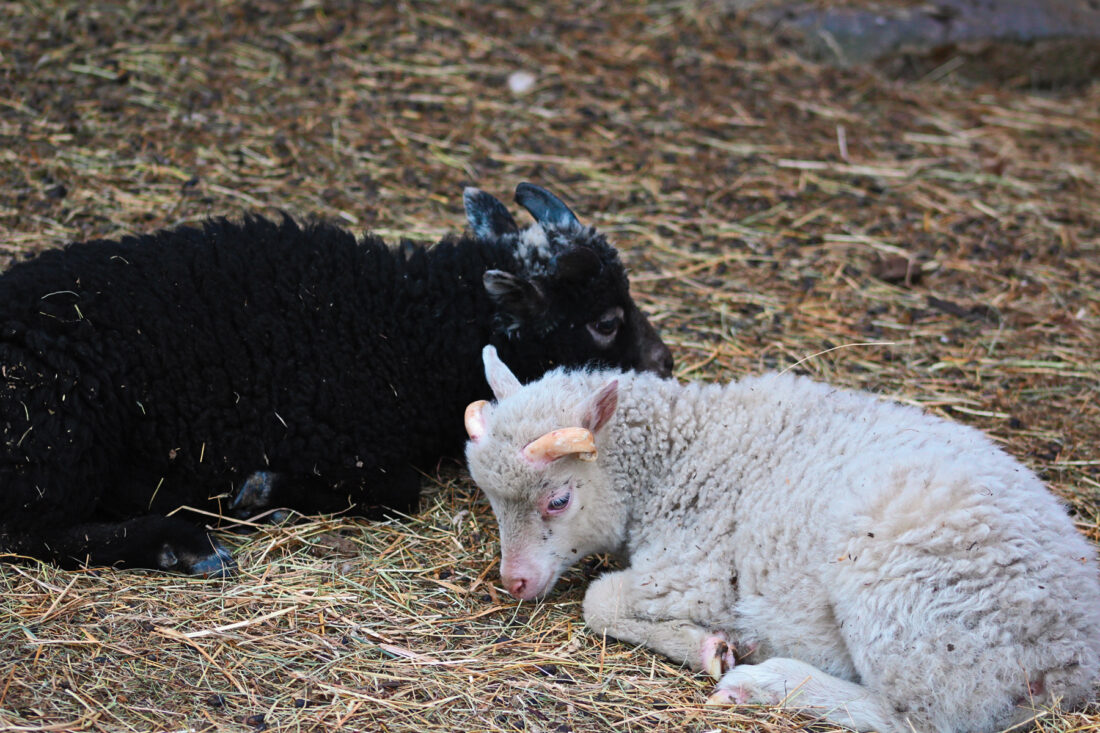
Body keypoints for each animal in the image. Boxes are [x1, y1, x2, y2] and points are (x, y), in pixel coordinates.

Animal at [0, 183, 673, 576]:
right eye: (606, 321)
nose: (665, 361)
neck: (406, 324)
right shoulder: (347, 444)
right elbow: (400, 491)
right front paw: (260, 493)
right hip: (56, 439)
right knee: (32, 532)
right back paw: (180, 544)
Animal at [464, 346, 1100, 733]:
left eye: (558, 500)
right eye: (491, 500)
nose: (515, 582)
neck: (679, 453)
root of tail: (1073, 653)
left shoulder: (694, 571)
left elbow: (598, 602)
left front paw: (713, 648)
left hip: (912, 608)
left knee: (924, 717)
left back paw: (761, 680)